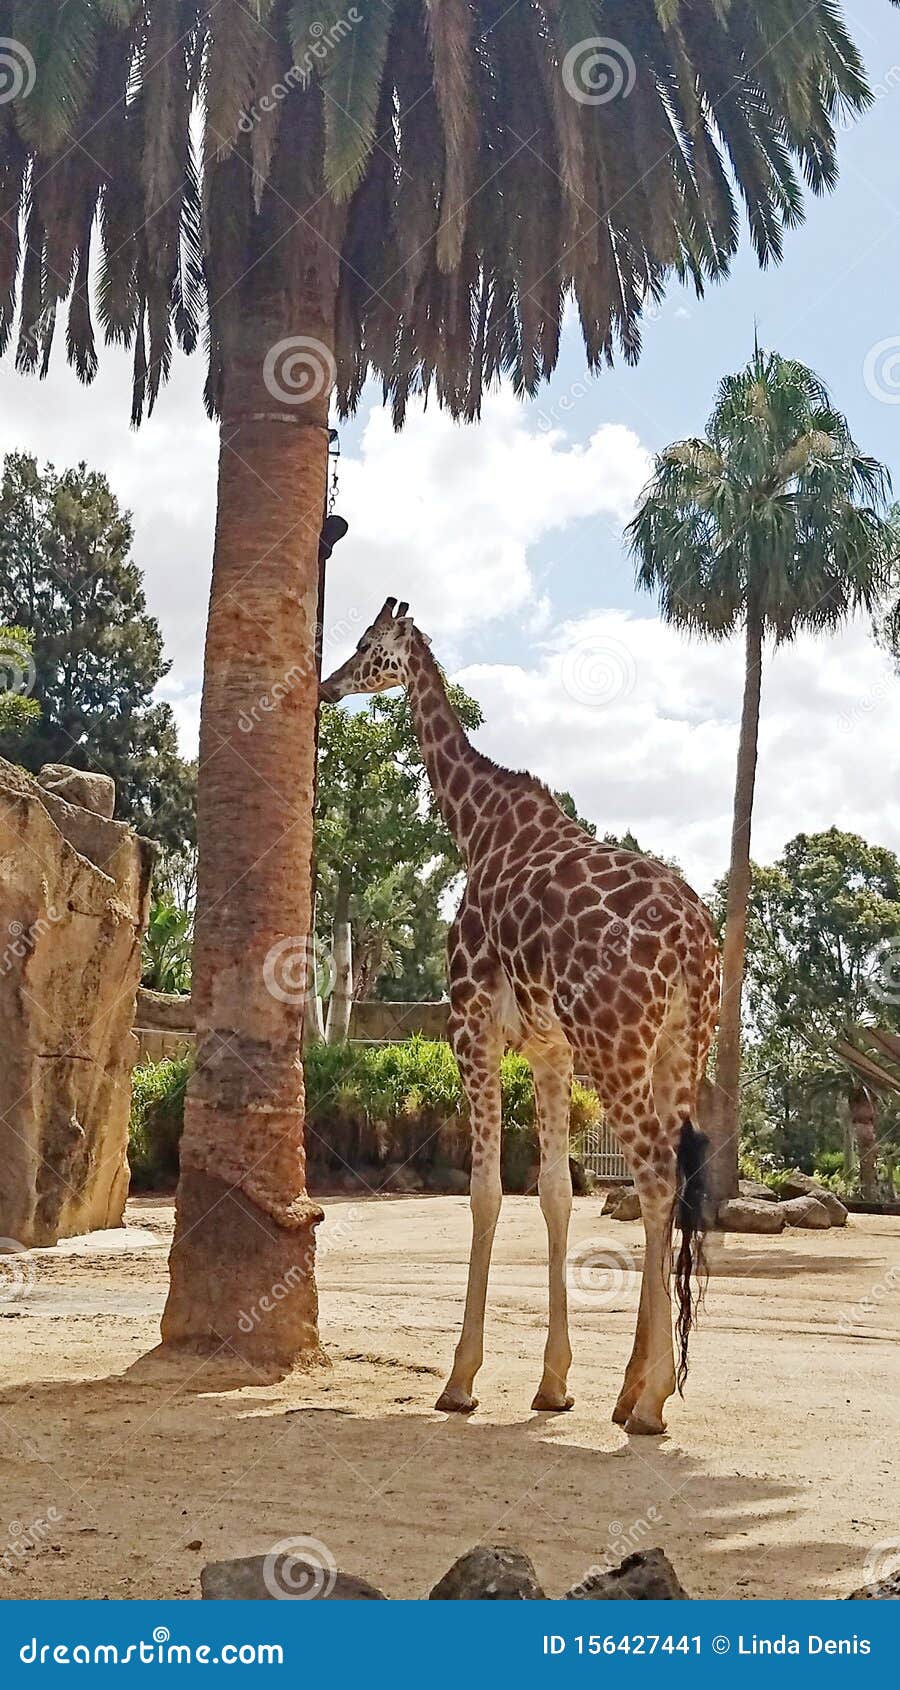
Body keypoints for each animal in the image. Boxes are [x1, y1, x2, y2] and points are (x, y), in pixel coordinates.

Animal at [320, 599, 720, 1434]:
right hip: (681, 1046)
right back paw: (635, 1389)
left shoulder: (468, 1022)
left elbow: (485, 1192)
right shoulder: (547, 1049)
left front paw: (460, 1379)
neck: (474, 826)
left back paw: (652, 1402)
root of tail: (695, 940)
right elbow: (557, 1194)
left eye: (368, 646)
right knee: (667, 1180)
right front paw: (555, 1383)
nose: (328, 686)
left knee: (657, 1178)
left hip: (618, 1047)